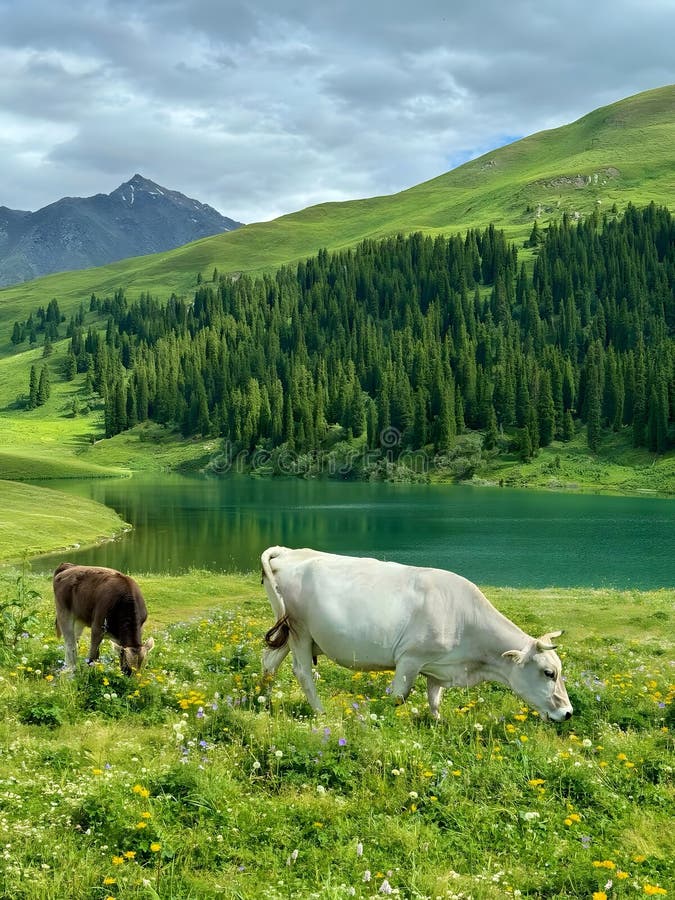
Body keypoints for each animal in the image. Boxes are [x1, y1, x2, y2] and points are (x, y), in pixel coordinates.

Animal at [261, 547, 573, 722]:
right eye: (549, 673)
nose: (568, 712)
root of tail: (288, 552)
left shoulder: (438, 668)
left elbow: (435, 701)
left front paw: (438, 724)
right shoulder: (410, 659)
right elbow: (399, 697)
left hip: (288, 633)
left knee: (269, 662)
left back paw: (262, 701)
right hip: (300, 632)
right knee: (302, 672)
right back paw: (320, 712)